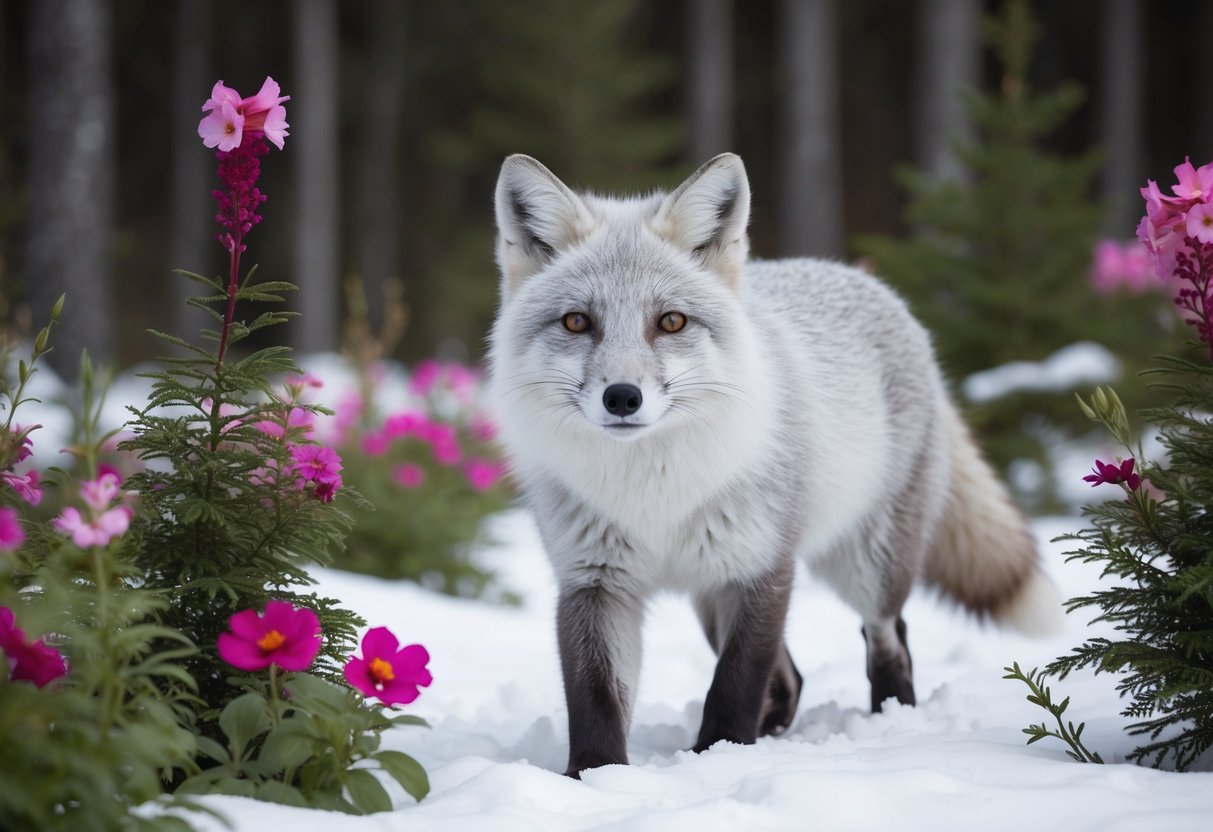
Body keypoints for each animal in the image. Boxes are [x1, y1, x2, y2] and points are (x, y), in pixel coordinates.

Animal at [485, 152, 1063, 778]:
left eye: (670, 322)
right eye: (576, 322)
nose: (622, 398)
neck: (652, 491)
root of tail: (869, 282)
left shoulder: (762, 568)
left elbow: (736, 682)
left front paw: (719, 756)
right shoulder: (593, 580)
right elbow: (595, 697)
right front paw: (594, 777)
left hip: (867, 565)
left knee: (888, 634)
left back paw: (891, 716)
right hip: (711, 594)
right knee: (794, 675)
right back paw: (778, 726)